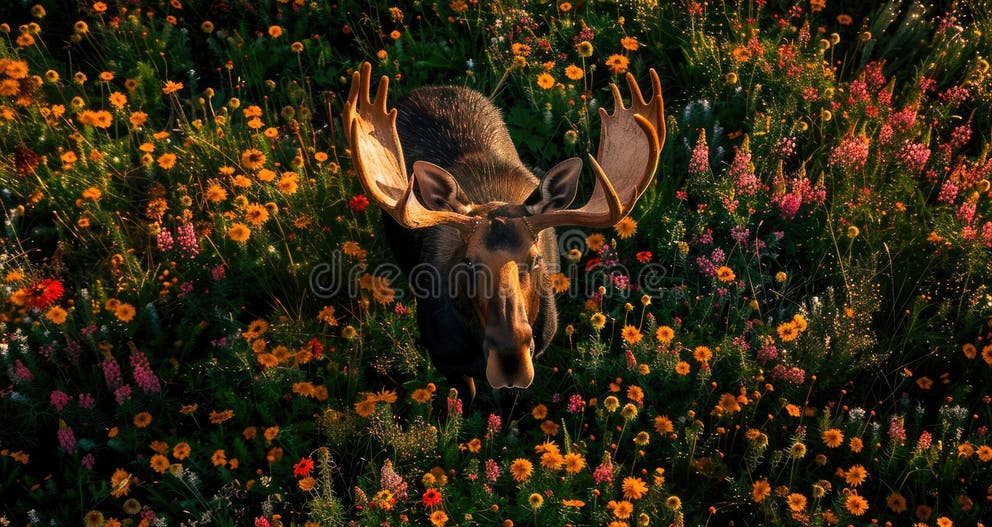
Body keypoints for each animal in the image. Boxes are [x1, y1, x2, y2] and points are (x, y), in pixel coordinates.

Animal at [342, 62, 665, 406]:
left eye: (536, 259)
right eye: (468, 261)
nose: (511, 359)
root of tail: (435, 88)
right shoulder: (444, 358)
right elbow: (464, 404)